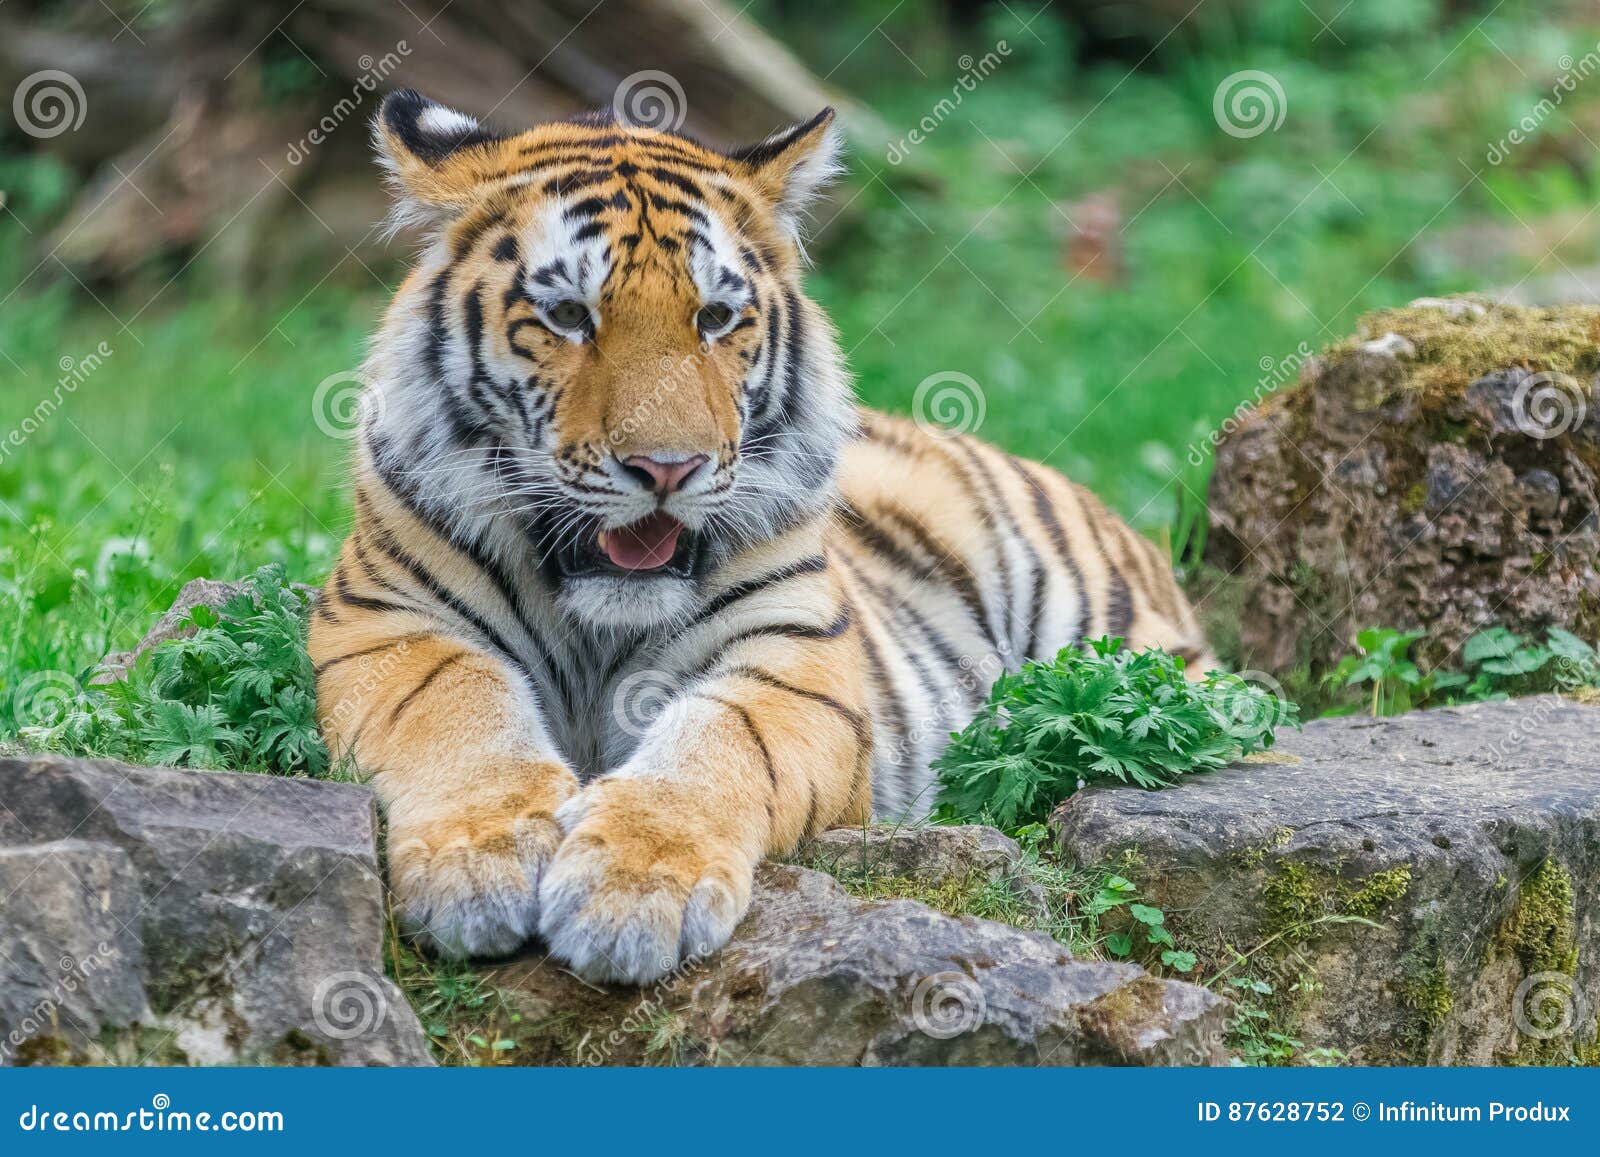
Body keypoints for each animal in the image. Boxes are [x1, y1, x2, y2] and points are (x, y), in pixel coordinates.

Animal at [308, 89, 1211, 984]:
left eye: (715, 317)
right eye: (566, 315)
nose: (667, 468)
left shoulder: (794, 656)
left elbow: (717, 742)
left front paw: (631, 889)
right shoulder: (384, 622)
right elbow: (458, 708)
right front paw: (479, 863)